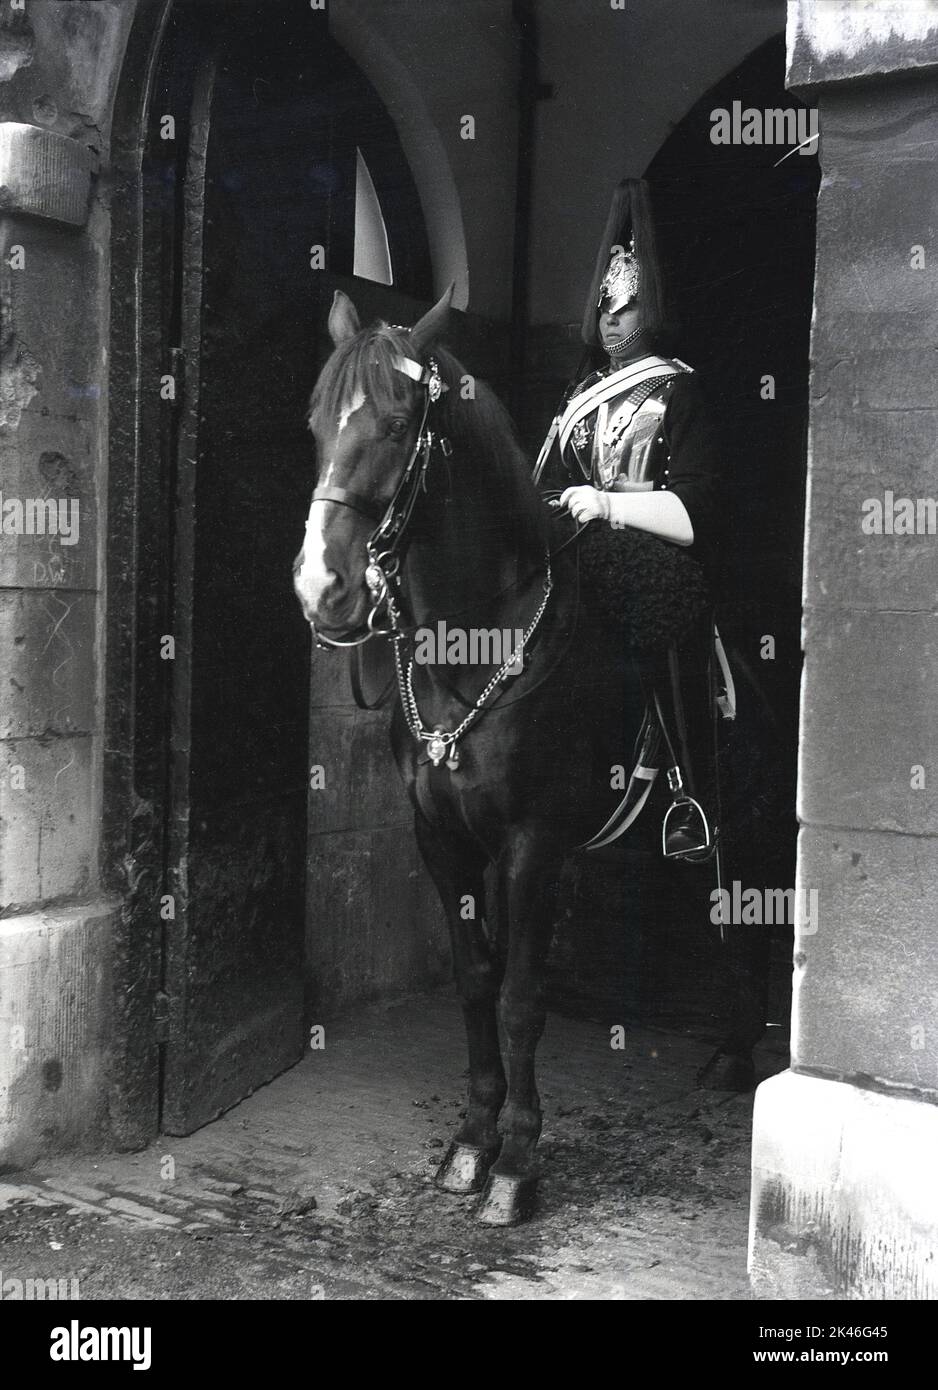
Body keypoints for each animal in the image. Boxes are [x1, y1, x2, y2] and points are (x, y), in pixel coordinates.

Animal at [297, 284, 761, 1228]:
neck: (477, 645)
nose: (321, 589)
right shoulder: (443, 841)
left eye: (396, 423)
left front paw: (515, 1164)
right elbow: (477, 982)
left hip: (740, 817)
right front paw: (471, 1143)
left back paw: (742, 1050)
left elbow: (518, 999)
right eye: (318, 421)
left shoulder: (532, 845)